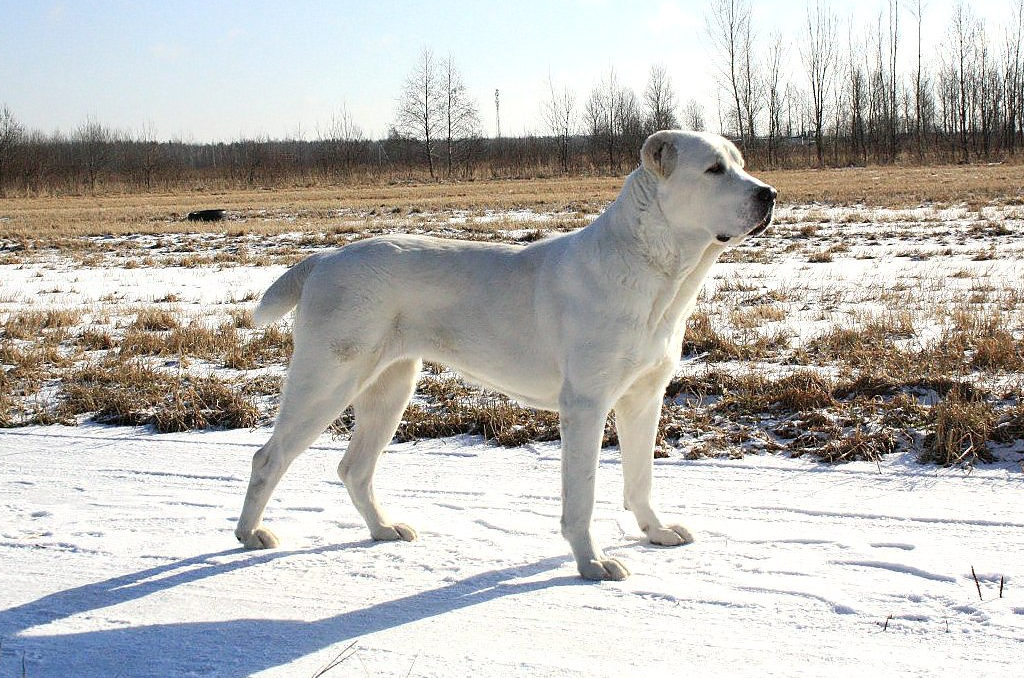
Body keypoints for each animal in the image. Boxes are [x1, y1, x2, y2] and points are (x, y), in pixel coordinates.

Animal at [234, 130, 774, 581]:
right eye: (713, 170)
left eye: (741, 164)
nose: (768, 194)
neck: (659, 274)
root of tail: (324, 257)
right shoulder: (586, 405)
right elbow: (583, 496)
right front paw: (591, 563)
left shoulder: (644, 398)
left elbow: (640, 478)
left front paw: (655, 532)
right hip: (328, 379)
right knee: (268, 457)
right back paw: (250, 534)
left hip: (391, 387)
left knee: (355, 469)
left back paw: (383, 529)